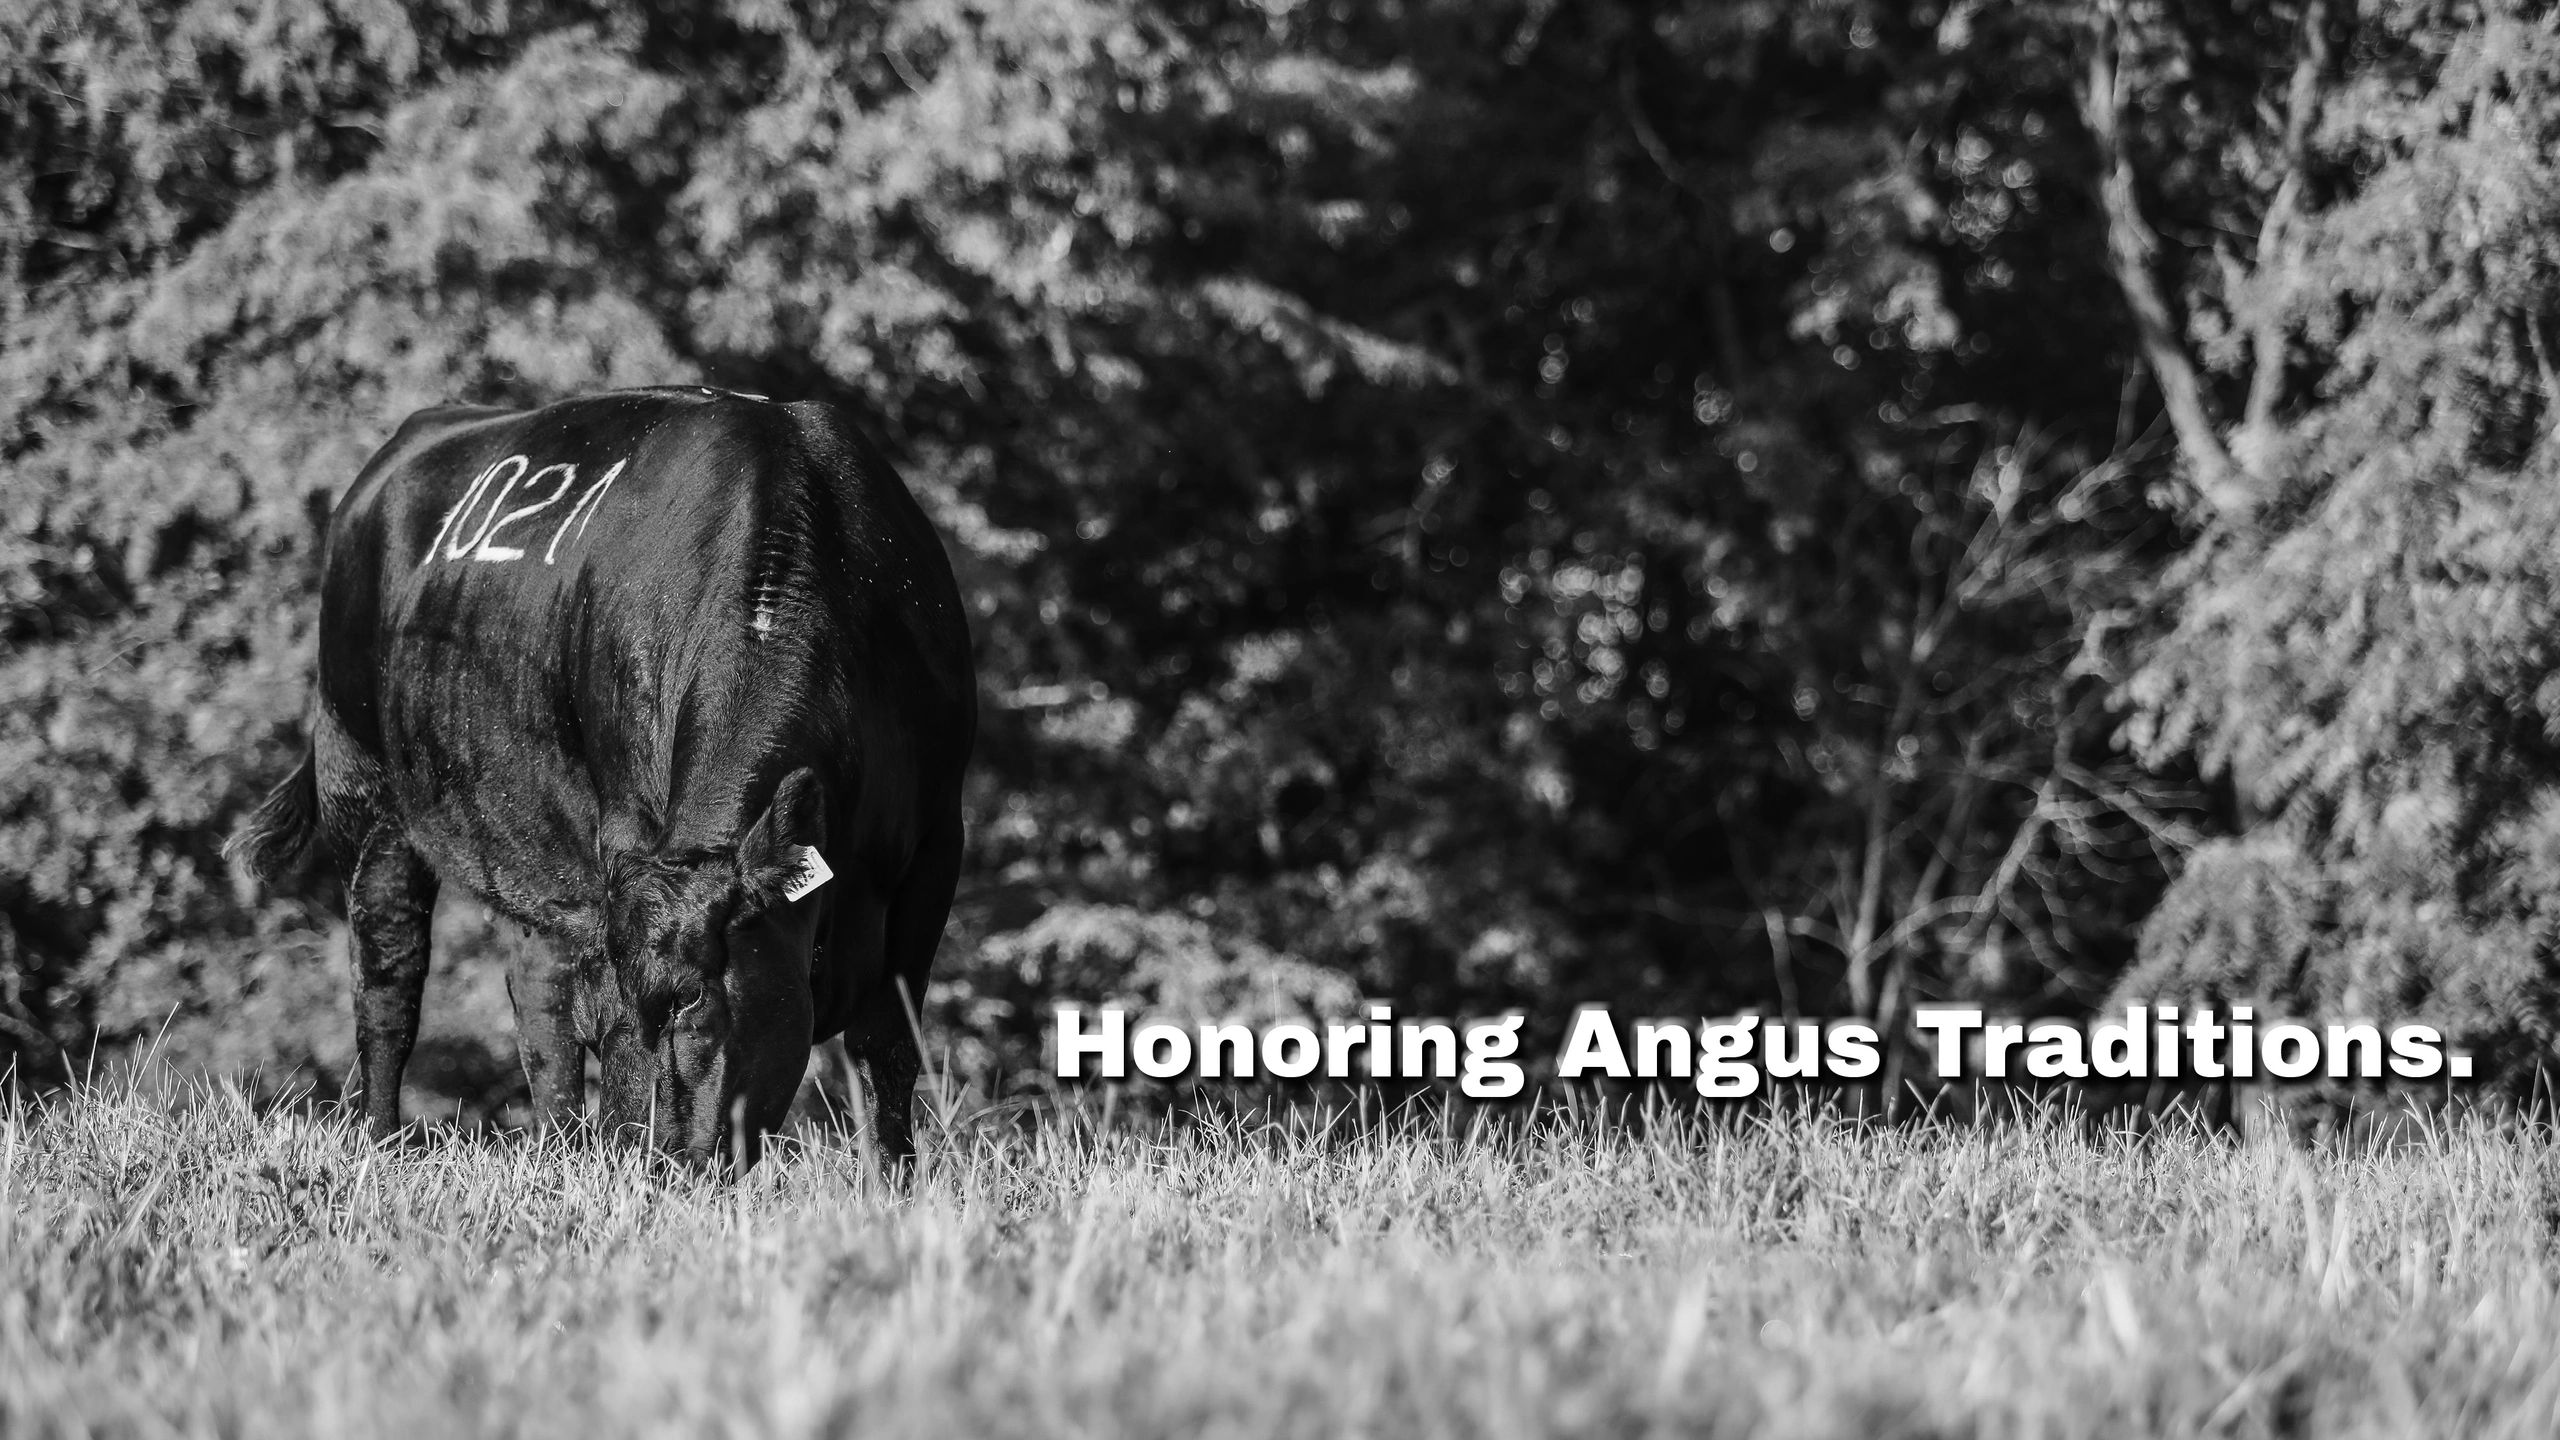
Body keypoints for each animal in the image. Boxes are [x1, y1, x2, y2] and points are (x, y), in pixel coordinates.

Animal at [237, 387, 976, 1171]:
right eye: (641, 995)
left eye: (691, 998)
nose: (653, 1157)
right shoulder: (626, 829)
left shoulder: (938, 841)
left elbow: (887, 1040)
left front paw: (893, 1178)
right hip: (360, 781)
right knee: (388, 978)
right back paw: (381, 1141)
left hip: (528, 842)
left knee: (539, 996)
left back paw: (558, 1148)